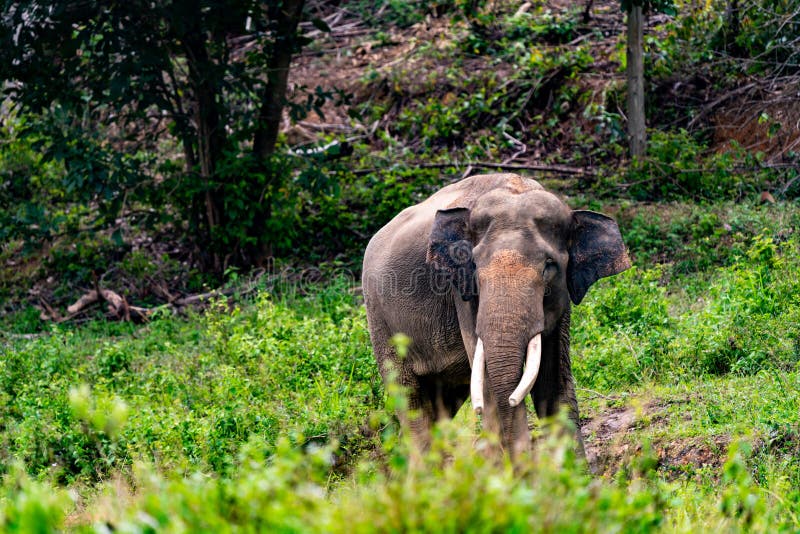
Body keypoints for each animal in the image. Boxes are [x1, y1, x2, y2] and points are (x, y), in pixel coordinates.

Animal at [361, 173, 630, 459]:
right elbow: (487, 378)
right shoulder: (463, 293)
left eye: (549, 265)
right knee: (408, 396)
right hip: (378, 318)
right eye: (474, 263)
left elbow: (553, 379)